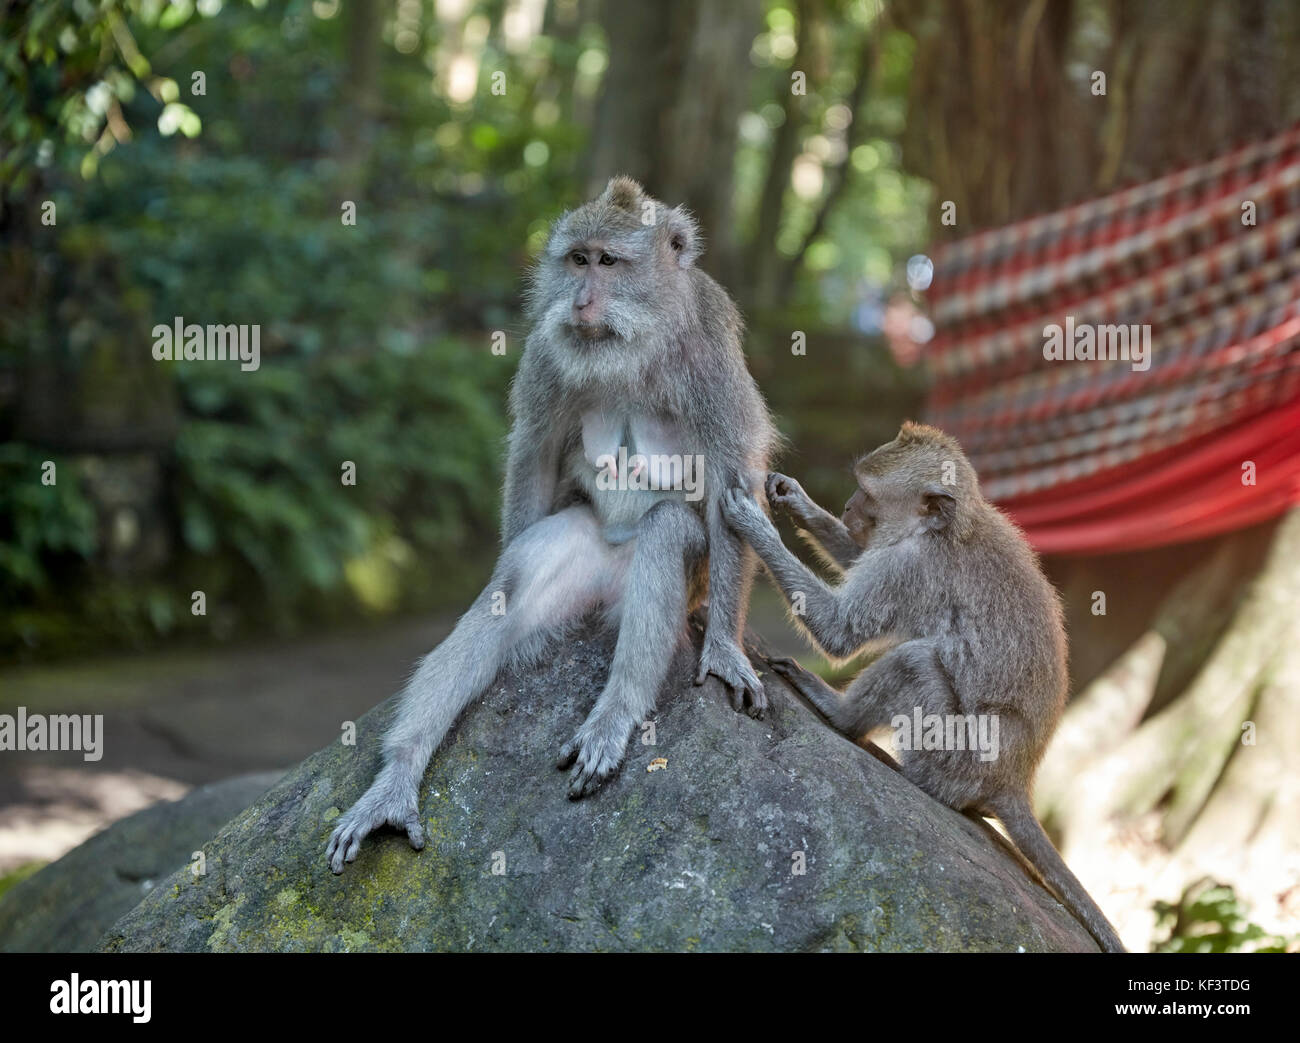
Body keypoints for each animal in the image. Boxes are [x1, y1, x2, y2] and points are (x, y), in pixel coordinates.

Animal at [326, 176, 779, 874]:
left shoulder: (708, 349)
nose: (583, 300)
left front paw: (726, 650)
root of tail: (612, 574)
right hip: (584, 550)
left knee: (668, 531)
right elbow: (535, 448)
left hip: (683, 580)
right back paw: (398, 777)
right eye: (576, 260)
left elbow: (731, 483)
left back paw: (613, 716)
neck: (631, 344)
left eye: (609, 262)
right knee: (516, 579)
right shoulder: (546, 347)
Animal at [718, 422, 1126, 953]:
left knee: (917, 663)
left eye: (868, 494)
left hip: (952, 761)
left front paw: (756, 525)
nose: (847, 507)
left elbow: (840, 631)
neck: (946, 529)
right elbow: (858, 554)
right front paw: (795, 500)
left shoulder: (907, 568)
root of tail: (1015, 780)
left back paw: (839, 714)